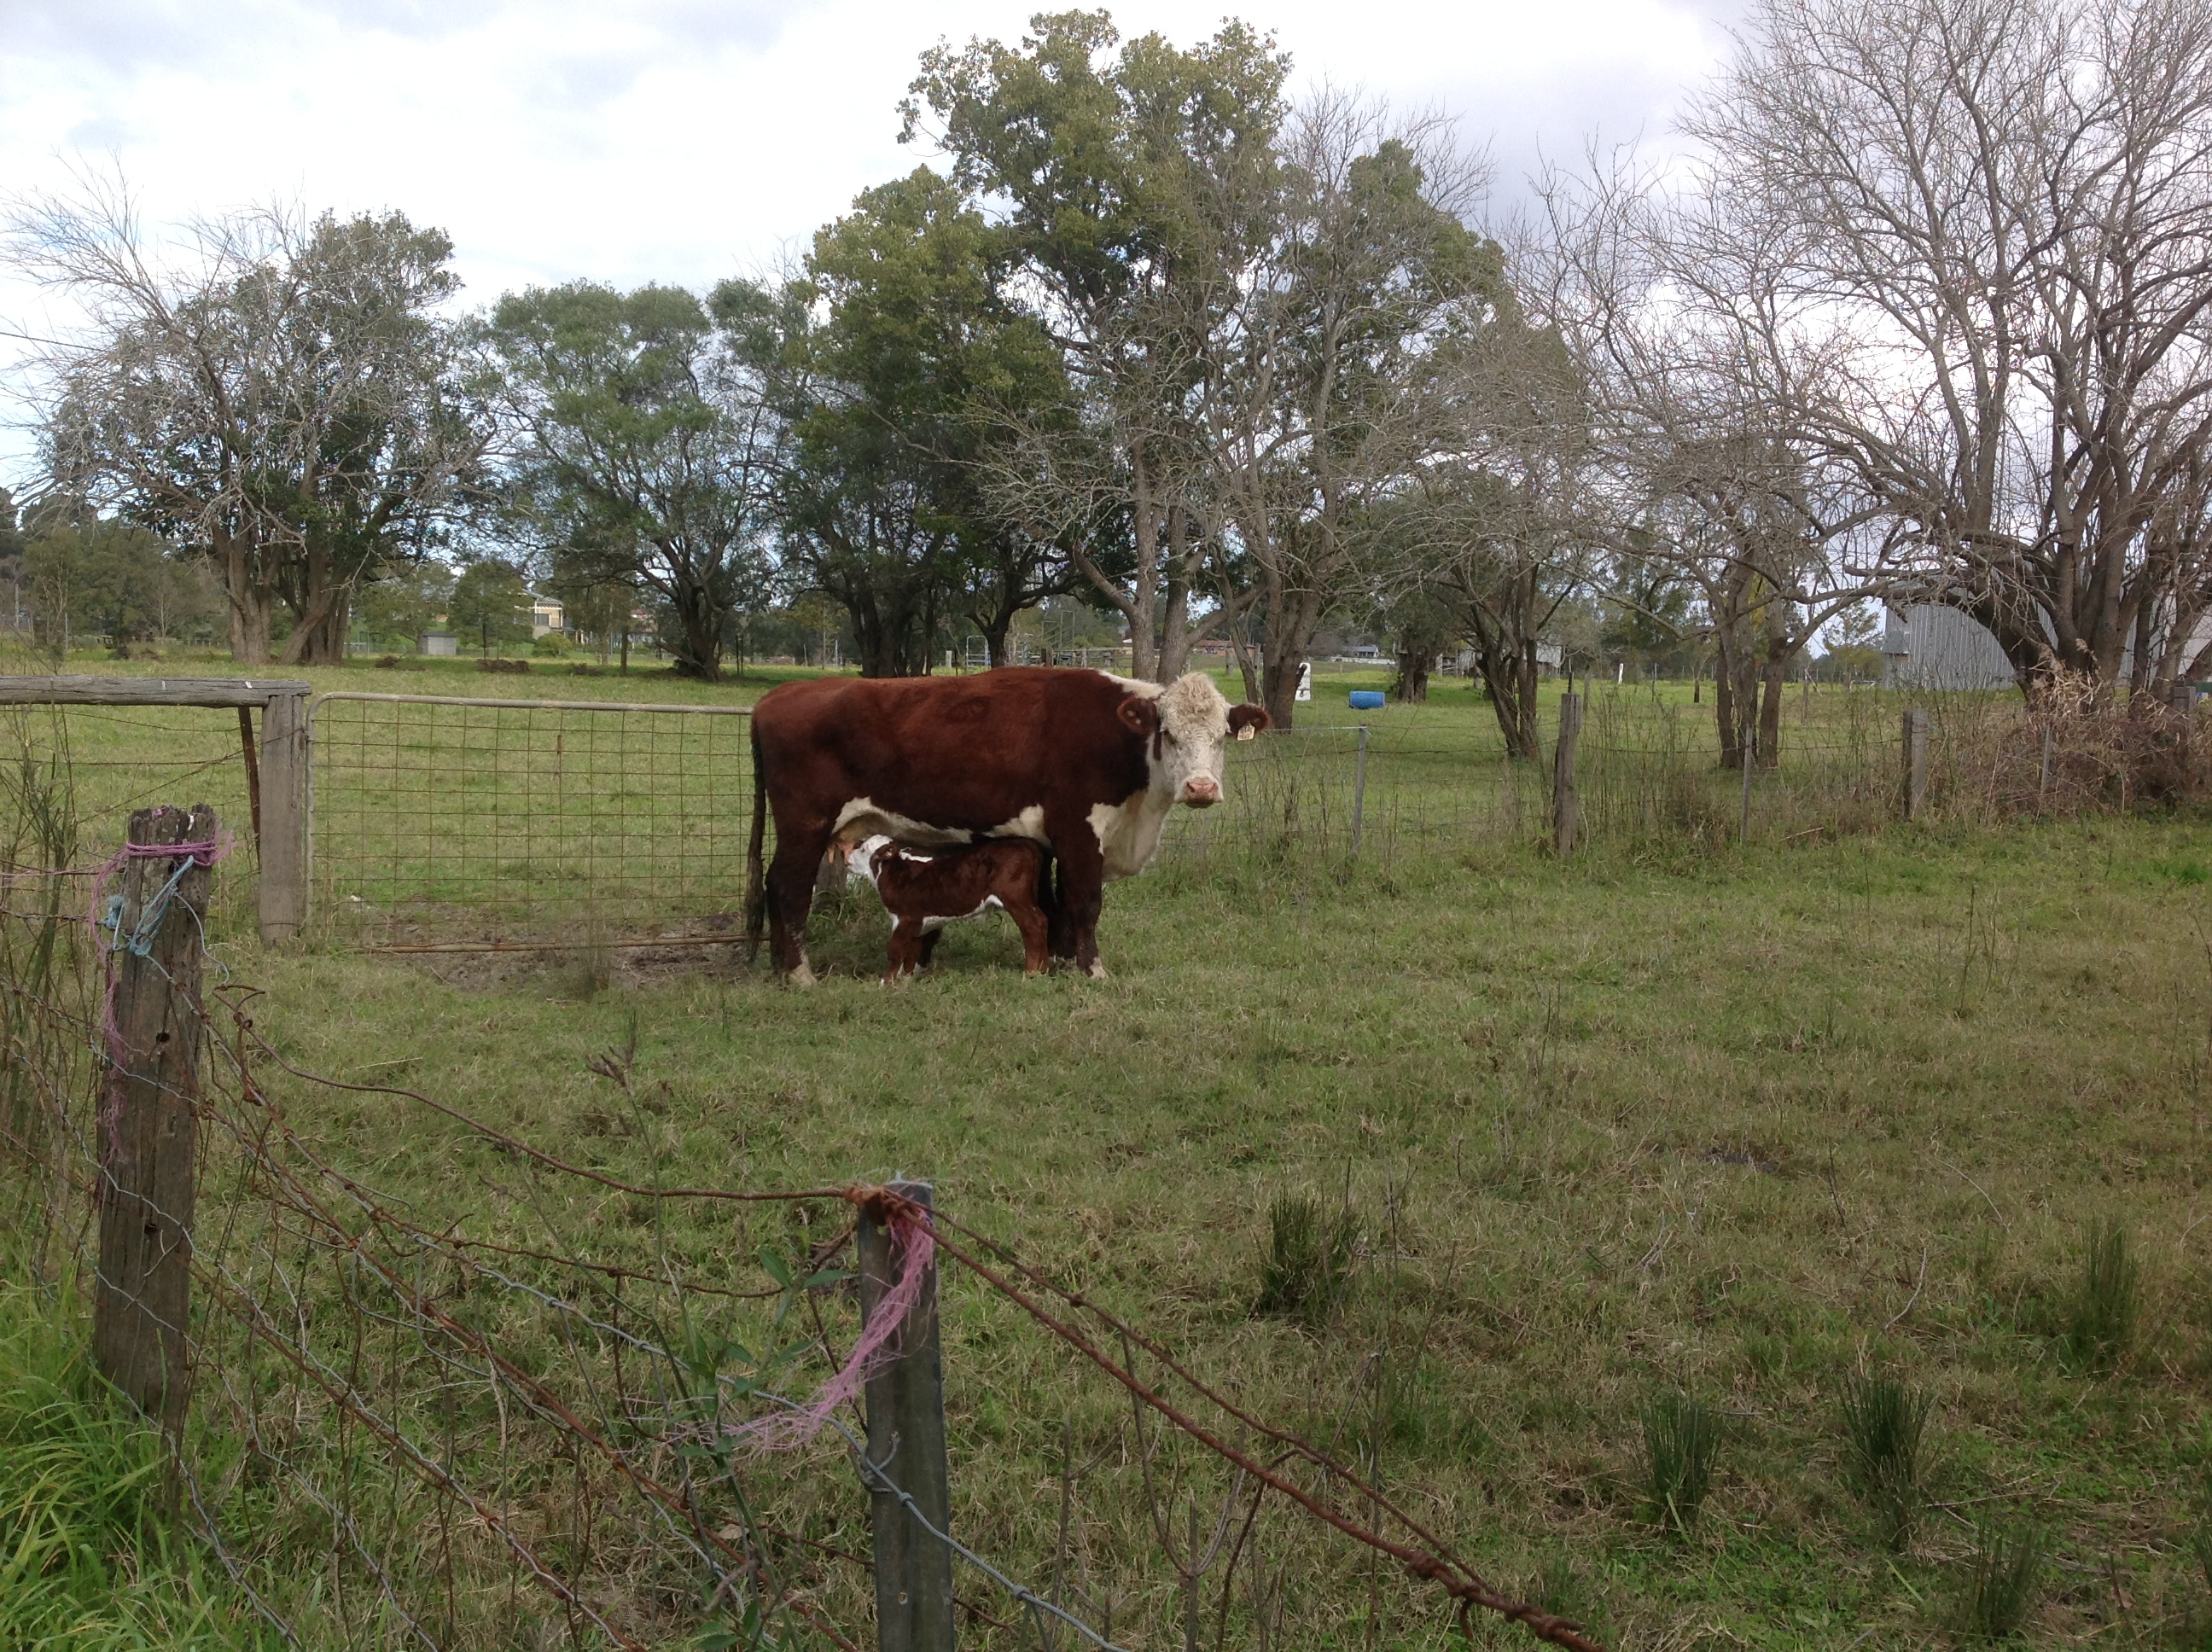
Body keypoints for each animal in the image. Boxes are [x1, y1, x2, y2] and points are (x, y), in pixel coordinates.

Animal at [844, 834, 1054, 979]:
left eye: (863, 849)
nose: (846, 857)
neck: (894, 874)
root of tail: (1027, 844)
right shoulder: (919, 923)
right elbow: (912, 951)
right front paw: (906, 979)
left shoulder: (906, 918)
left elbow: (895, 950)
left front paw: (886, 982)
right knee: (1042, 922)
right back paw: (1043, 969)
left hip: (1016, 899)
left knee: (1033, 926)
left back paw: (1032, 971)